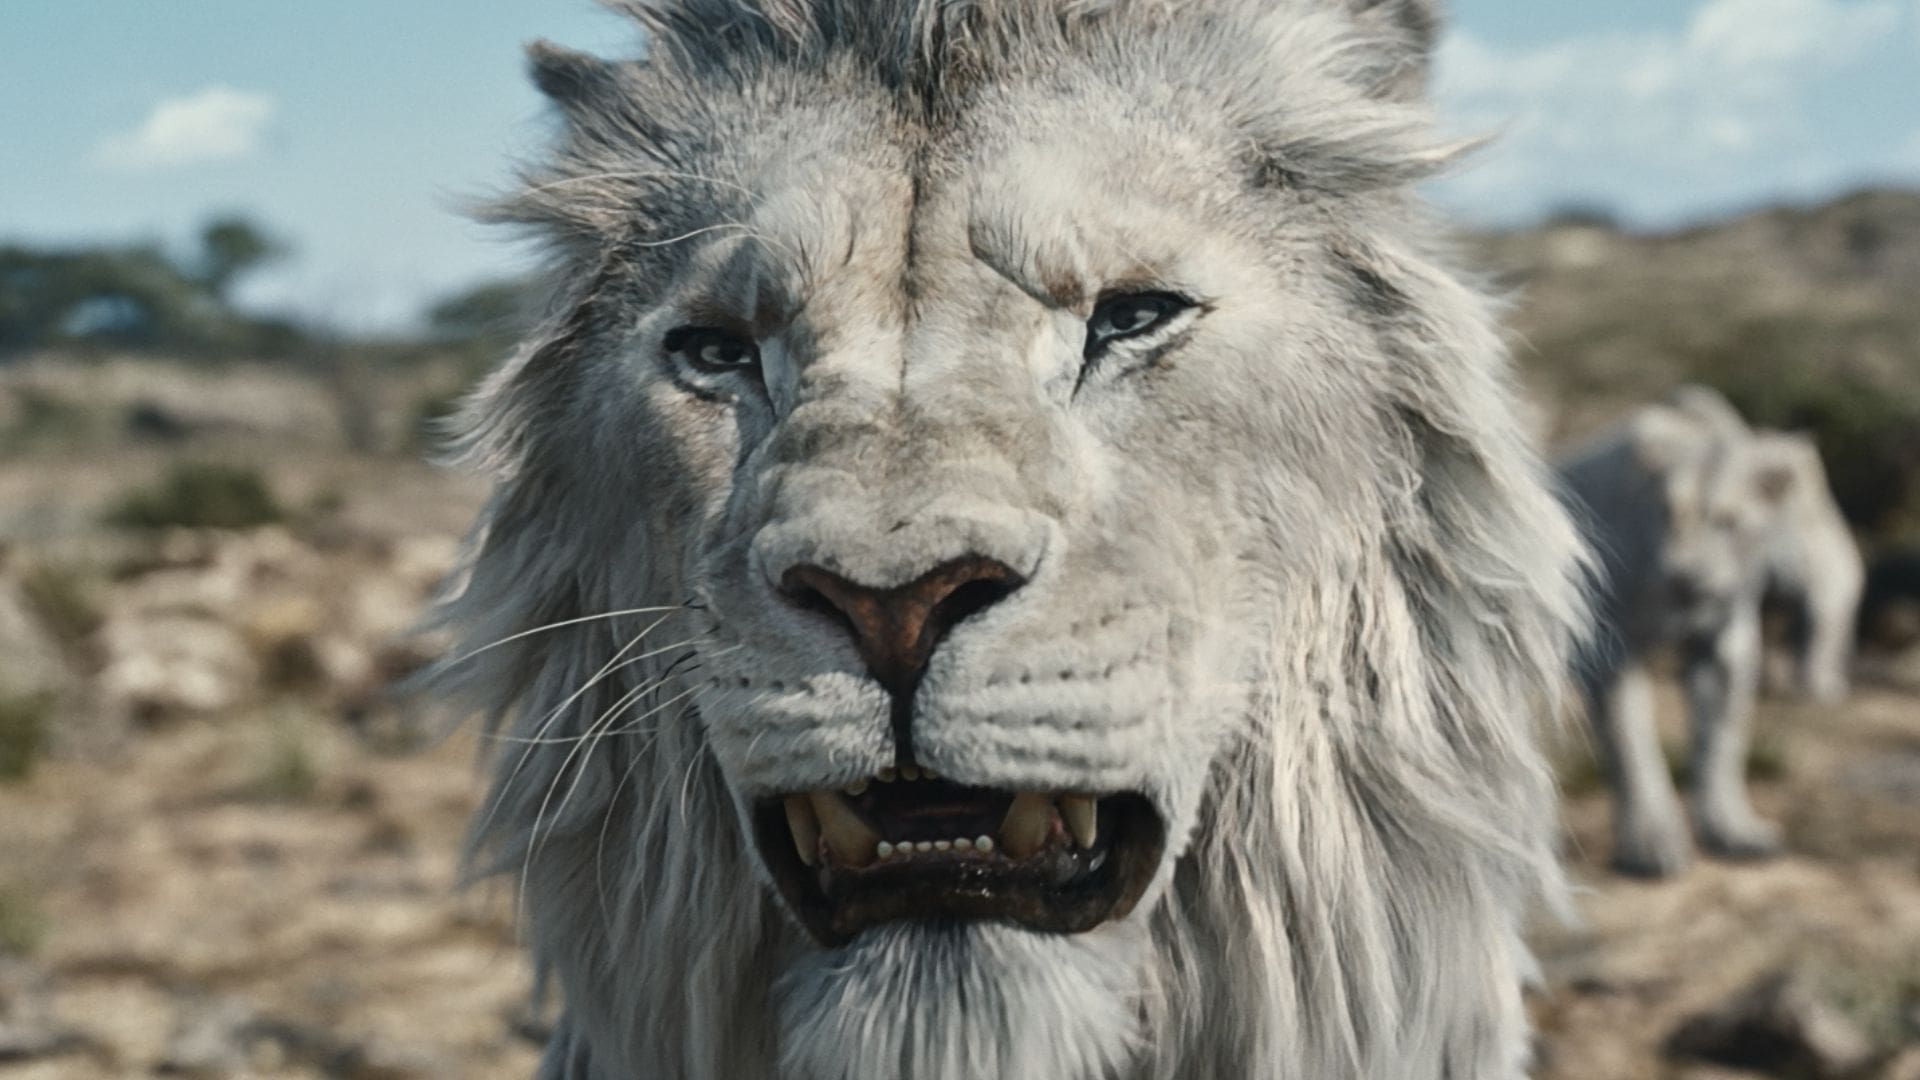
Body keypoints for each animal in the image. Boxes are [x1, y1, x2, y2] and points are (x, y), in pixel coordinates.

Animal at [1556, 387, 1797, 877]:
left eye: (1727, 521)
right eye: (1667, 513)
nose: (1684, 577)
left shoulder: (1725, 643)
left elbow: (1721, 741)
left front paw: (1731, 831)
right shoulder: (1611, 653)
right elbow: (1631, 746)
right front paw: (1651, 848)